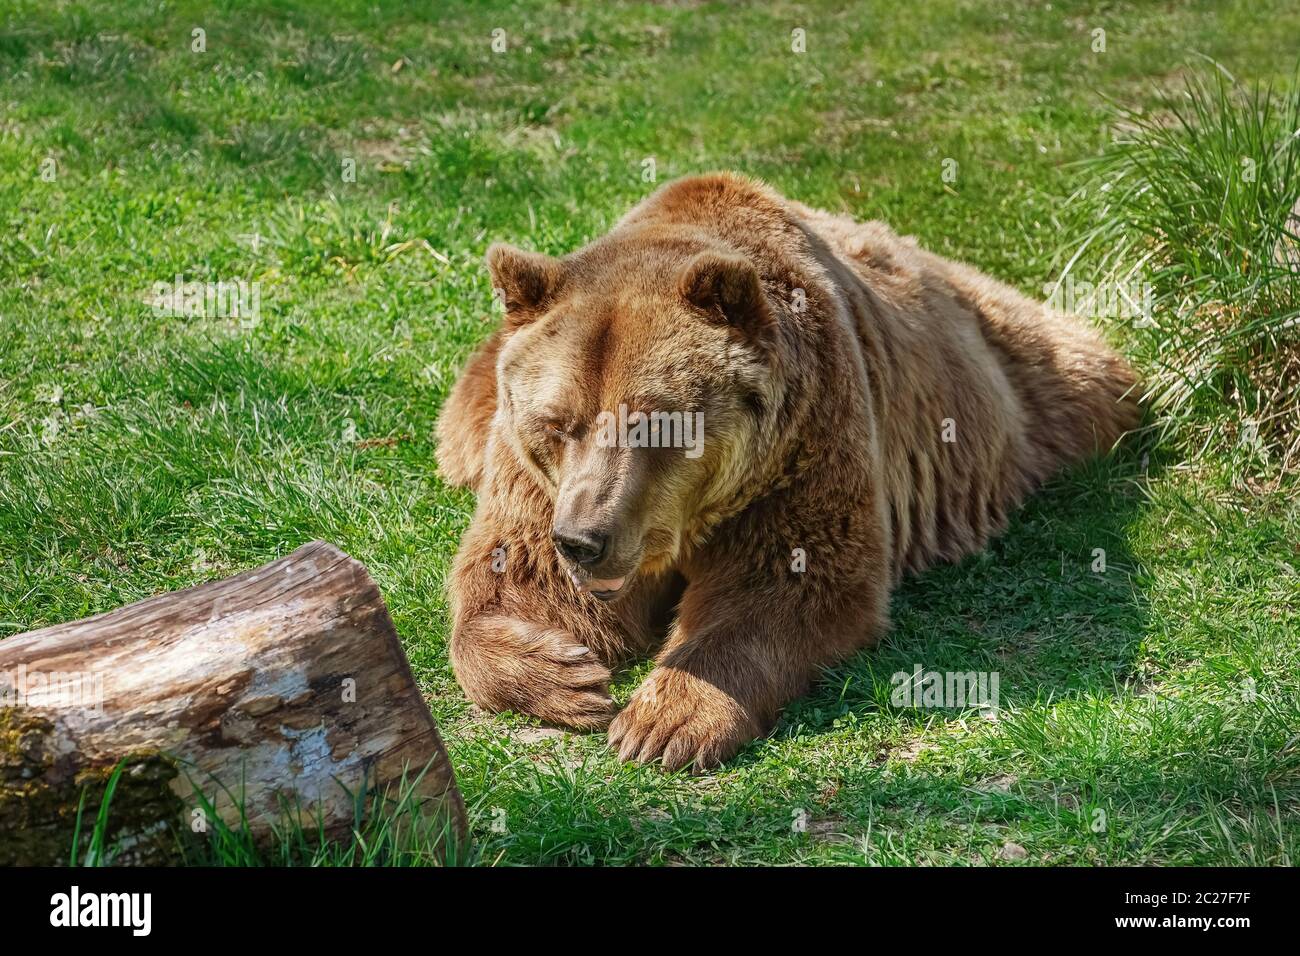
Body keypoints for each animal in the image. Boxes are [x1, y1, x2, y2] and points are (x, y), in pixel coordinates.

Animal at [436, 172, 1139, 771]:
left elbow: (792, 582)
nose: (585, 540)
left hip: (1027, 371)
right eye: (558, 423)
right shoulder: (536, 480)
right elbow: (517, 575)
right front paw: (567, 674)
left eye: (654, 425)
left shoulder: (806, 443)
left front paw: (662, 723)